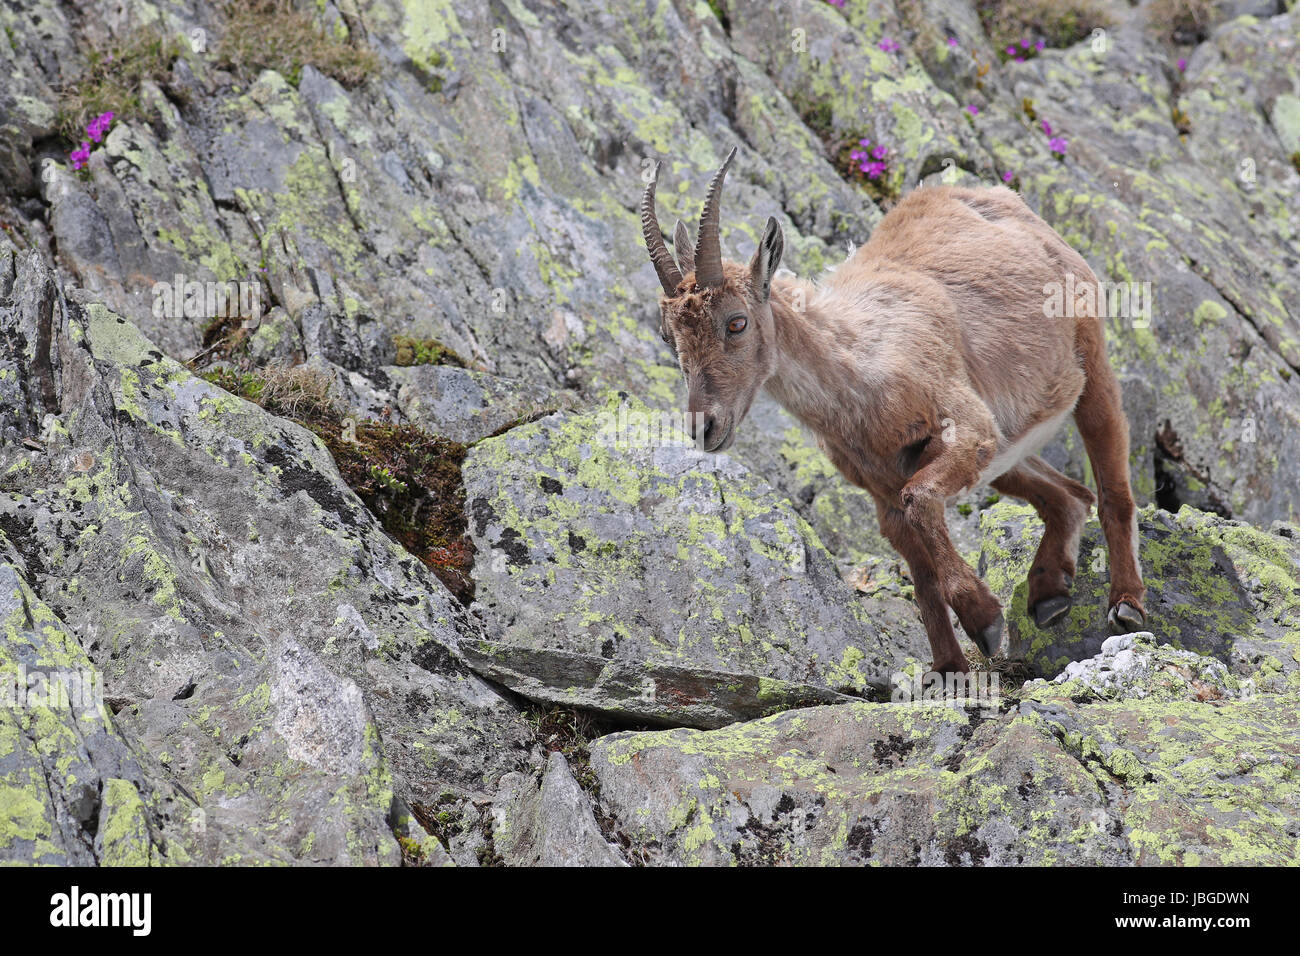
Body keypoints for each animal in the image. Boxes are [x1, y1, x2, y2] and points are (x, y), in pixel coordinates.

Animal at [641, 147, 1146, 674]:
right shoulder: (882, 492)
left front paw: (983, 619)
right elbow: (921, 574)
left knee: (1111, 488)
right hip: (1009, 450)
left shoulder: (966, 424)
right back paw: (1048, 594)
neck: (859, 377)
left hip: (1090, 361)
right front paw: (948, 670)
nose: (703, 426)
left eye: (736, 323)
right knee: (1069, 496)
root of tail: (1004, 199)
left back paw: (1126, 603)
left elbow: (920, 498)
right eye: (668, 335)